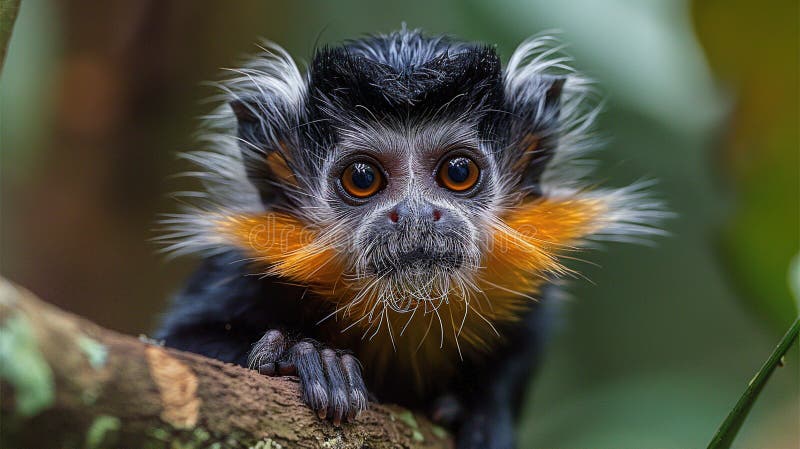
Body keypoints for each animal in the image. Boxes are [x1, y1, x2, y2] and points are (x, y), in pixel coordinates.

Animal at [155, 27, 665, 449]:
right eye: (363, 178)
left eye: (458, 172)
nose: (417, 214)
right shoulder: (244, 264)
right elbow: (178, 344)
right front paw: (301, 357)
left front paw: (481, 414)